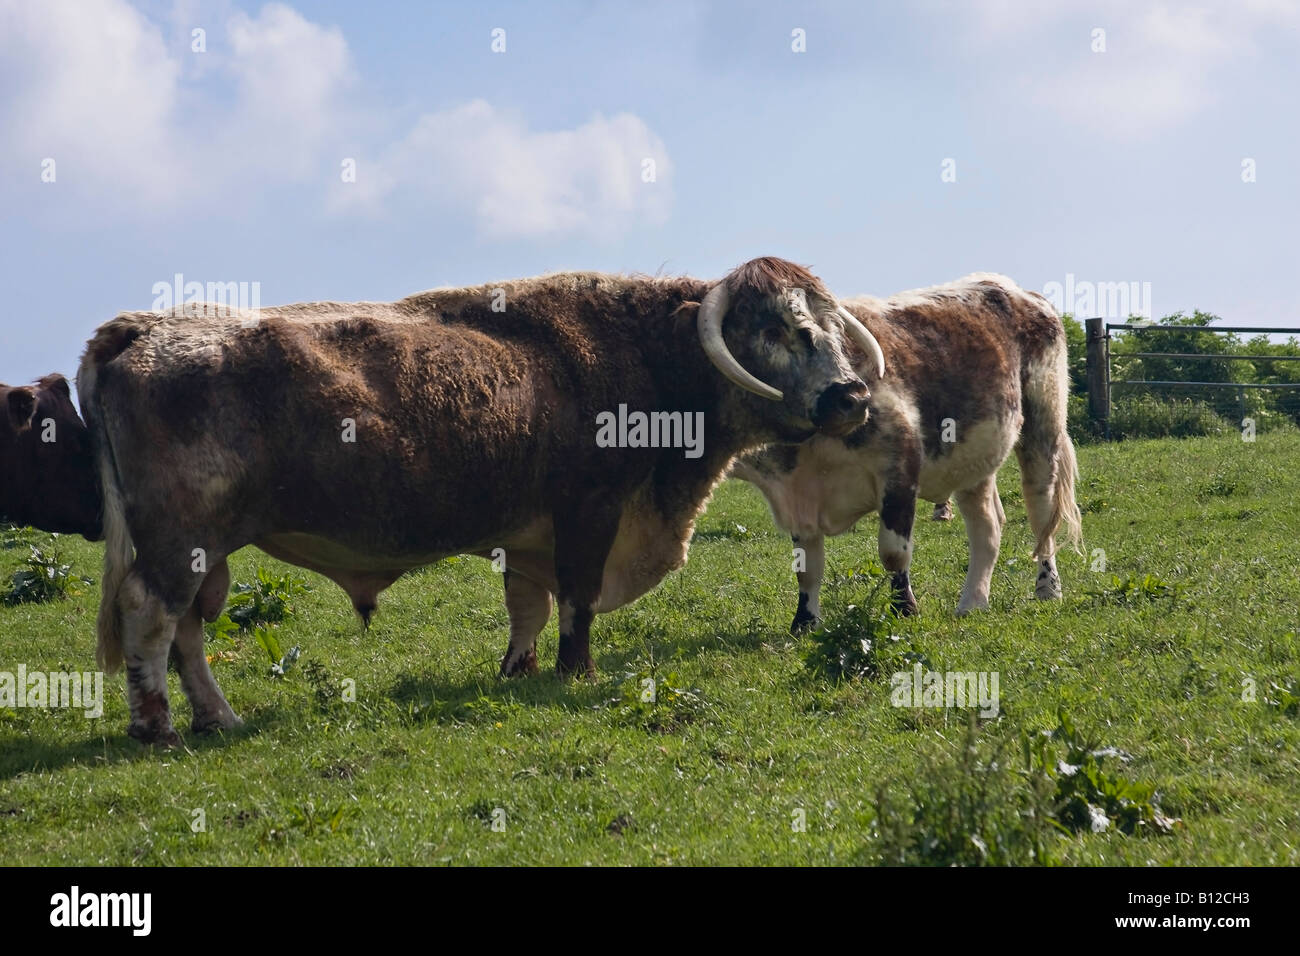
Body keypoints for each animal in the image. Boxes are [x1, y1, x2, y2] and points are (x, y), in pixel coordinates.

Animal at [78, 257, 887, 746]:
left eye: (827, 324)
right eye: (775, 327)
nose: (851, 395)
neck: (647, 357)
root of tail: (145, 327)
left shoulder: (528, 536)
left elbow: (528, 606)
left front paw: (517, 670)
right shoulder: (590, 511)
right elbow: (578, 600)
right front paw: (576, 672)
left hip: (202, 550)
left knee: (186, 630)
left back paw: (217, 717)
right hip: (181, 541)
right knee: (152, 616)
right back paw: (159, 728)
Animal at [730, 273, 1083, 631]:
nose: (851, 398)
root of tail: (1020, 292)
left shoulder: (900, 464)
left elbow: (892, 551)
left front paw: (905, 609)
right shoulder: (798, 495)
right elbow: (807, 568)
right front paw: (804, 621)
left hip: (1043, 427)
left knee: (1042, 512)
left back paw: (1048, 588)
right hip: (975, 455)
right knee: (988, 526)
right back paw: (972, 602)